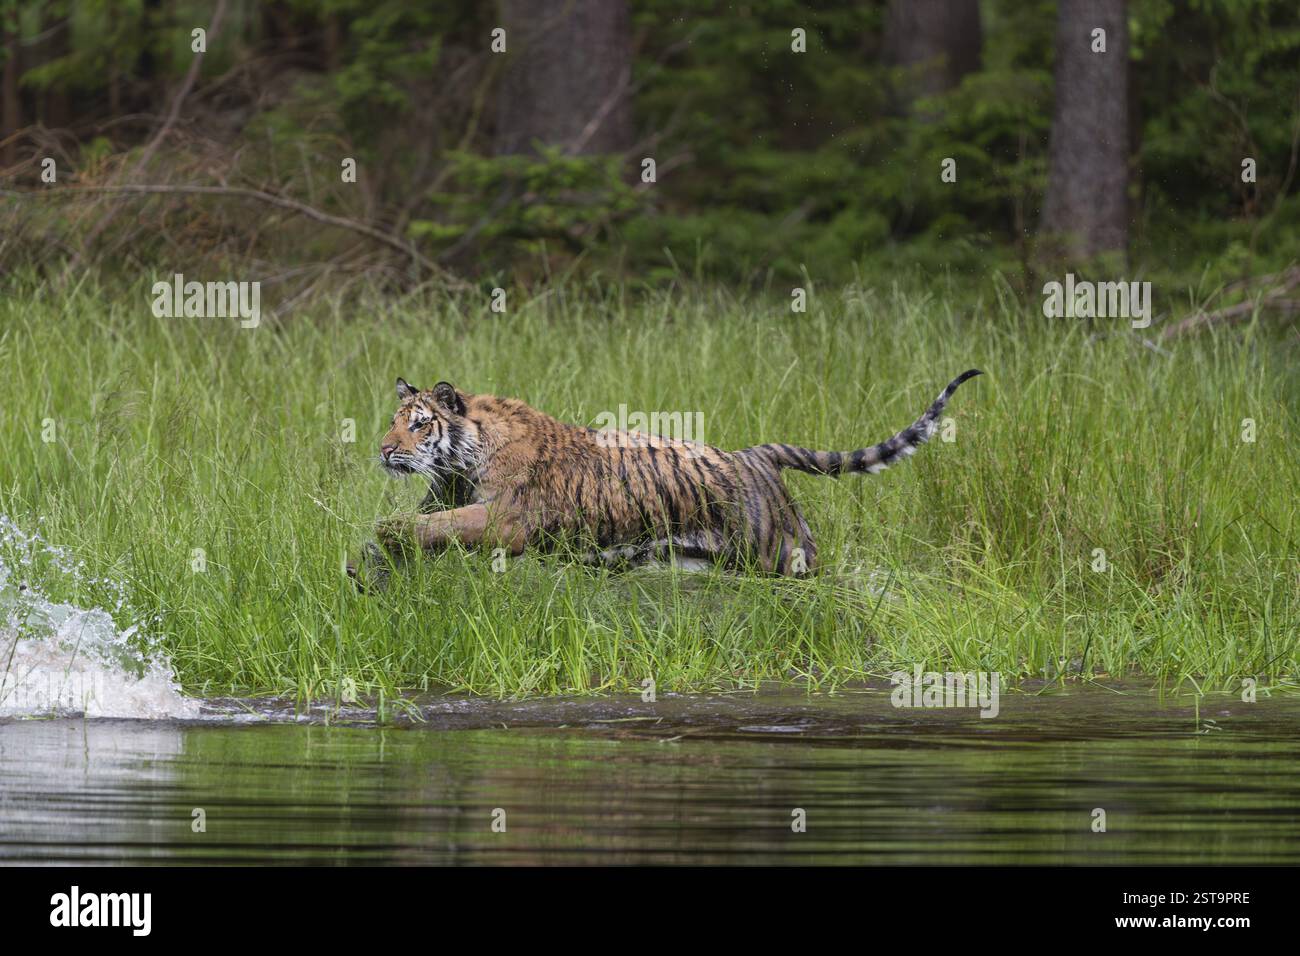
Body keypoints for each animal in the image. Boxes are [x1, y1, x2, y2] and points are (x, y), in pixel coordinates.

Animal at [349, 370, 982, 587]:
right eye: (393, 420)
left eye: (418, 423)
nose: (383, 449)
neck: (461, 460)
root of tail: (757, 454)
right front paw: (364, 560)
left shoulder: (505, 519)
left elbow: (432, 526)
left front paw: (391, 536)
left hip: (784, 553)